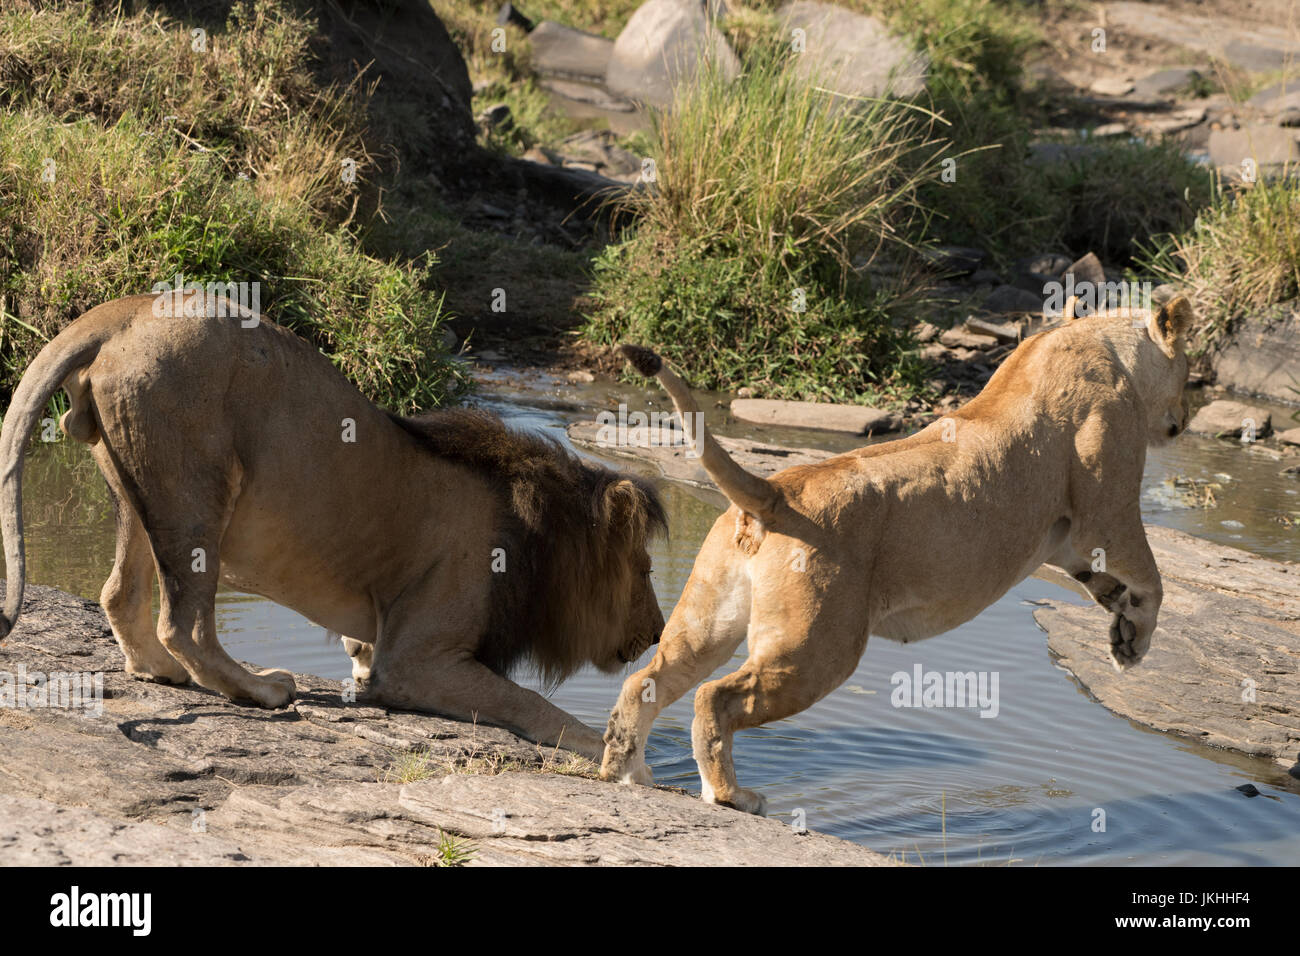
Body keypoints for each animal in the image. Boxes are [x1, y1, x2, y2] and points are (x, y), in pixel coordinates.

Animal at [0, 292, 666, 760]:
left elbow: (366, 656)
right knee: (185, 624)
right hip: (196, 490)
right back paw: (260, 688)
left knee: (120, 593)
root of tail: (125, 313)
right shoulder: (416, 658)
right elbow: (528, 703)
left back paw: (159, 671)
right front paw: (613, 751)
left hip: (140, 489)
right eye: (646, 568)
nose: (659, 631)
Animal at [600, 296, 1195, 814]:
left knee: (645, 679)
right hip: (818, 648)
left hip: (707, 619)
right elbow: (1153, 576)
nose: (1186, 418)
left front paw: (1121, 626)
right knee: (715, 698)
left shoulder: (1069, 539)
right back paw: (731, 796)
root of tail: (776, 492)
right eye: (1190, 371)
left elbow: (1104, 581)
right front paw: (1134, 644)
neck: (1097, 341)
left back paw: (626, 771)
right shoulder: (1107, 510)